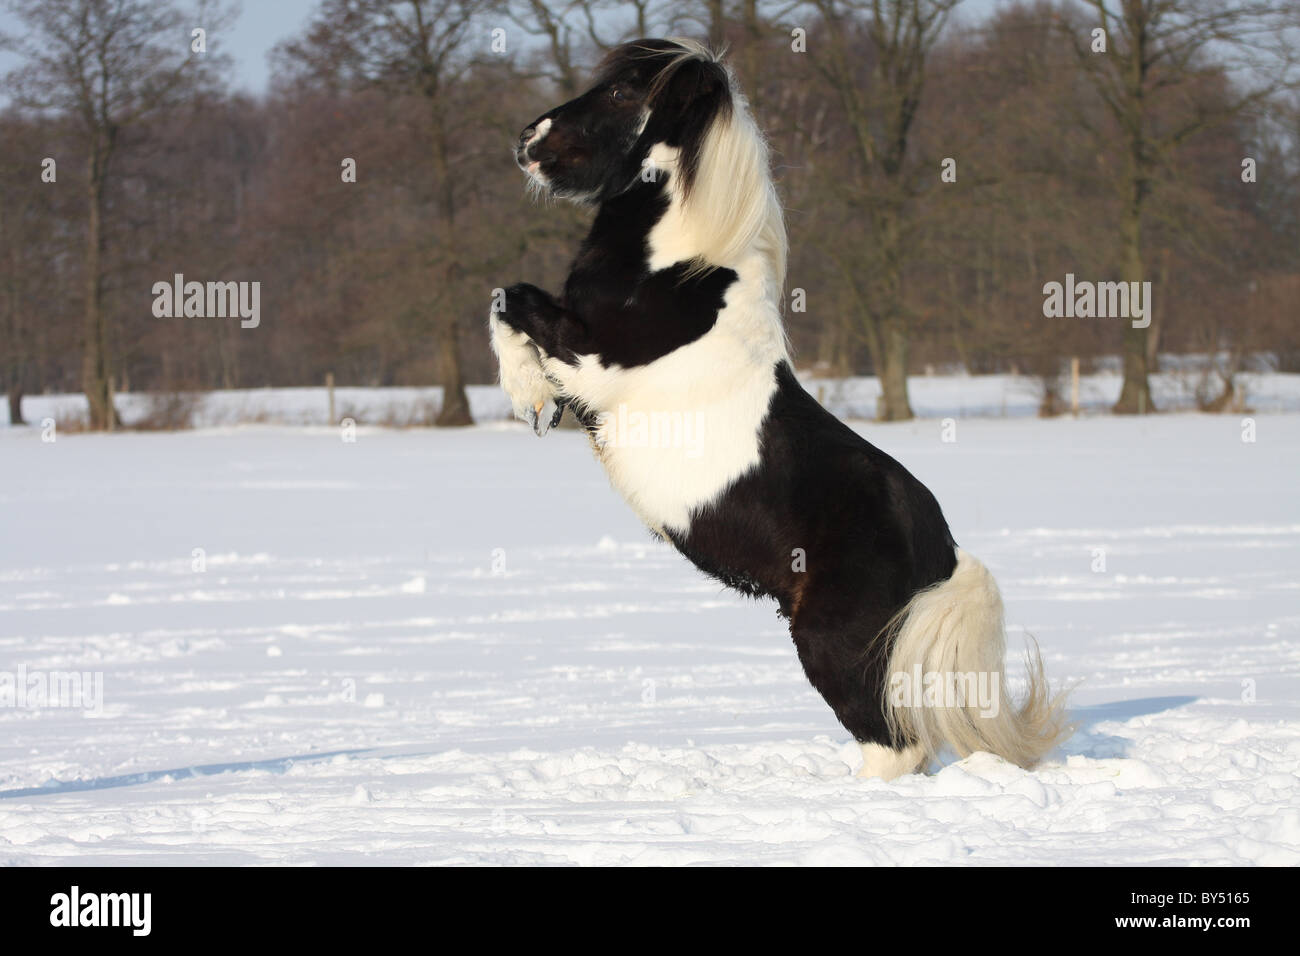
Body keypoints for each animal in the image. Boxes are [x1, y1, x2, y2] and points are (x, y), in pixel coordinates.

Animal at [489, 38, 1070, 779]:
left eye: (622, 94)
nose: (527, 142)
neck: (679, 278)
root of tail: (945, 552)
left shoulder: (591, 366)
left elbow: (513, 294)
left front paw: (525, 391)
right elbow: (507, 299)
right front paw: (529, 395)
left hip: (833, 642)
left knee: (896, 743)